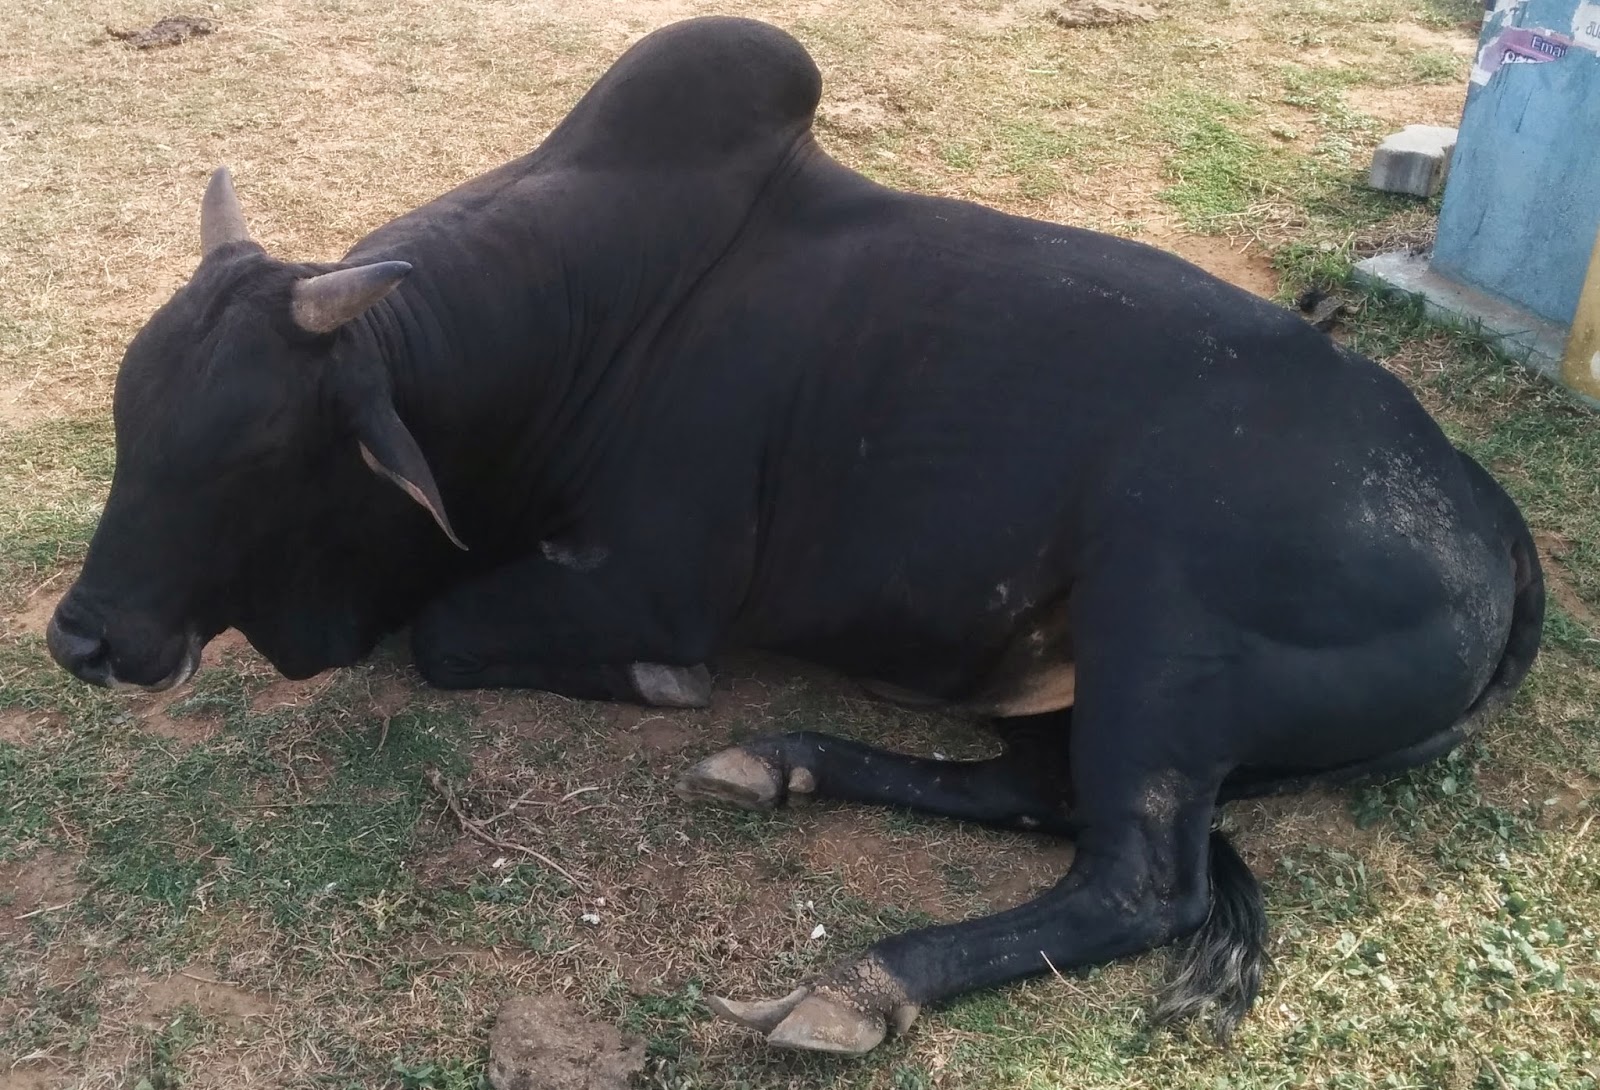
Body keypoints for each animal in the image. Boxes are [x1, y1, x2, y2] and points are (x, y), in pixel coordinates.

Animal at [46, 15, 1543, 1057]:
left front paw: (660, 691)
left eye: (250, 449)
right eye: (128, 411)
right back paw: (784, 764)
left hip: (1159, 633)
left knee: (1140, 881)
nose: (84, 636)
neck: (571, 324)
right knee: (1031, 794)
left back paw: (854, 982)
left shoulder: (653, 588)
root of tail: (1487, 515)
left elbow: (450, 636)